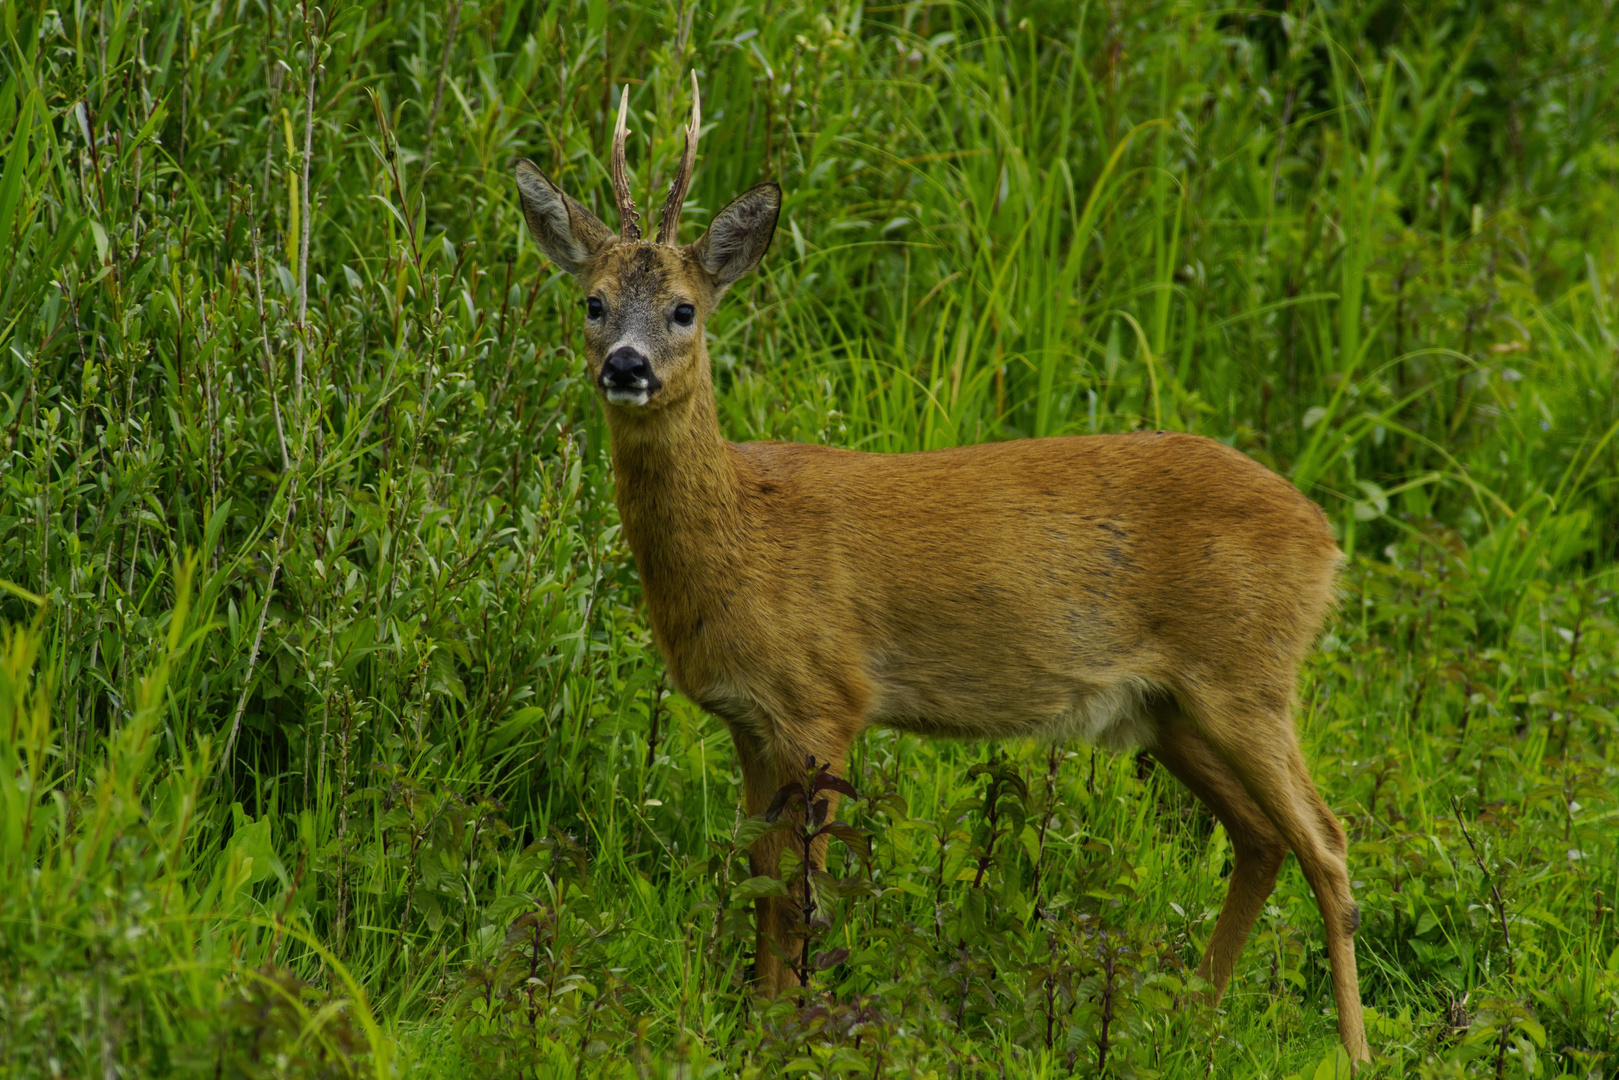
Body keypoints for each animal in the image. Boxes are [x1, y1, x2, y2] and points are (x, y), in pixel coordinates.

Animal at [514, 82, 1366, 1062]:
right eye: (592, 301)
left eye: (685, 309)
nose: (626, 365)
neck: (742, 537)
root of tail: (1325, 537)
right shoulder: (749, 719)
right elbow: (763, 871)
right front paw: (757, 1019)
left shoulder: (825, 700)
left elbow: (804, 885)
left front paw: (795, 1026)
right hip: (1169, 710)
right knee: (1262, 838)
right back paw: (1187, 1017)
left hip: (1246, 674)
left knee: (1326, 840)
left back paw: (1350, 1049)